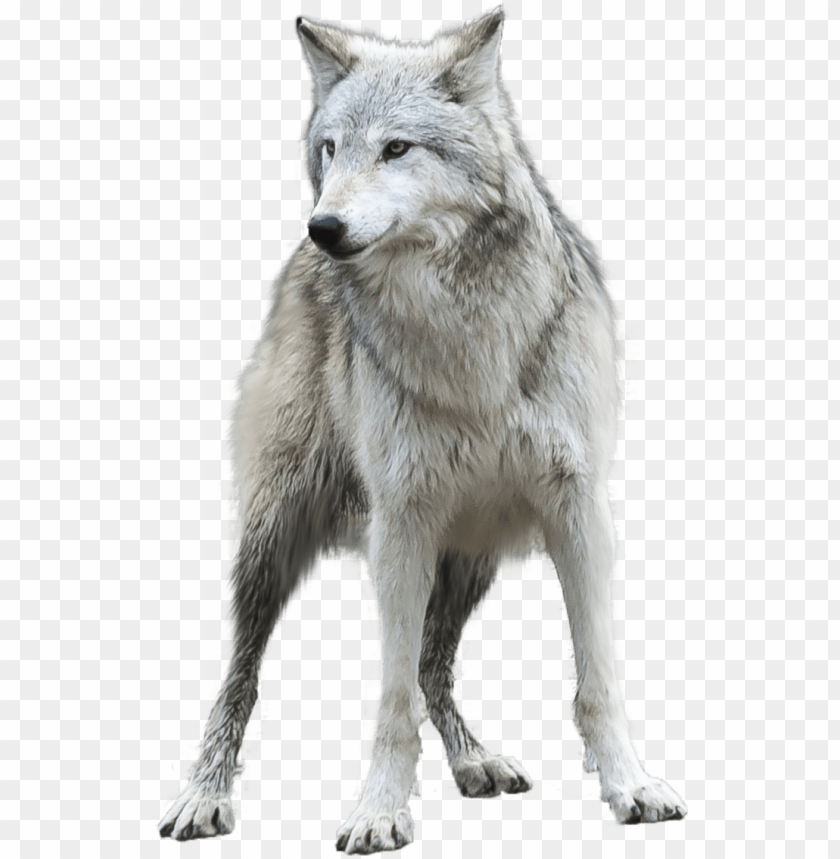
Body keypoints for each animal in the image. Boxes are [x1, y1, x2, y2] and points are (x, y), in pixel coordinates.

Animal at [158, 7, 687, 853]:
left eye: (397, 148)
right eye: (332, 149)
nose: (324, 226)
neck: (469, 343)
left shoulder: (576, 509)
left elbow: (596, 677)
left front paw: (630, 785)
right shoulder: (400, 521)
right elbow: (391, 696)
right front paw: (380, 808)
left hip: (471, 554)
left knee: (435, 663)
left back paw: (474, 760)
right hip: (274, 536)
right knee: (242, 675)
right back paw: (203, 795)